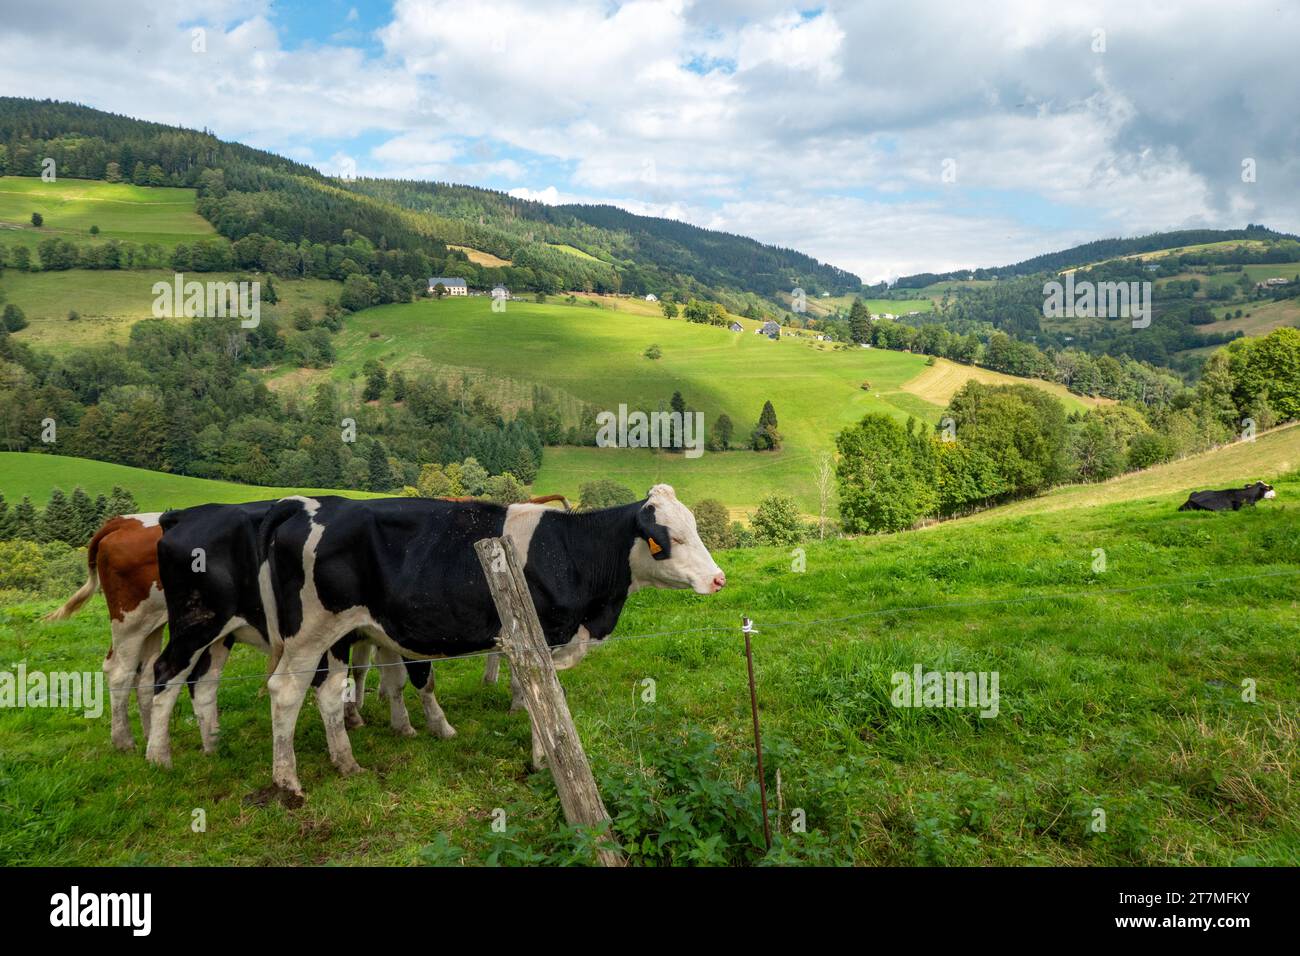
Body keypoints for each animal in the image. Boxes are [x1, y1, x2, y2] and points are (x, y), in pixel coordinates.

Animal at [255, 484, 725, 797]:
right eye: (672, 538)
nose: (718, 579)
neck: (571, 553)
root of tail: (305, 509)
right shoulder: (539, 641)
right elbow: (543, 701)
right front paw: (543, 761)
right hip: (311, 632)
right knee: (287, 690)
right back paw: (287, 780)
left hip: (339, 635)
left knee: (330, 692)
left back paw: (346, 761)